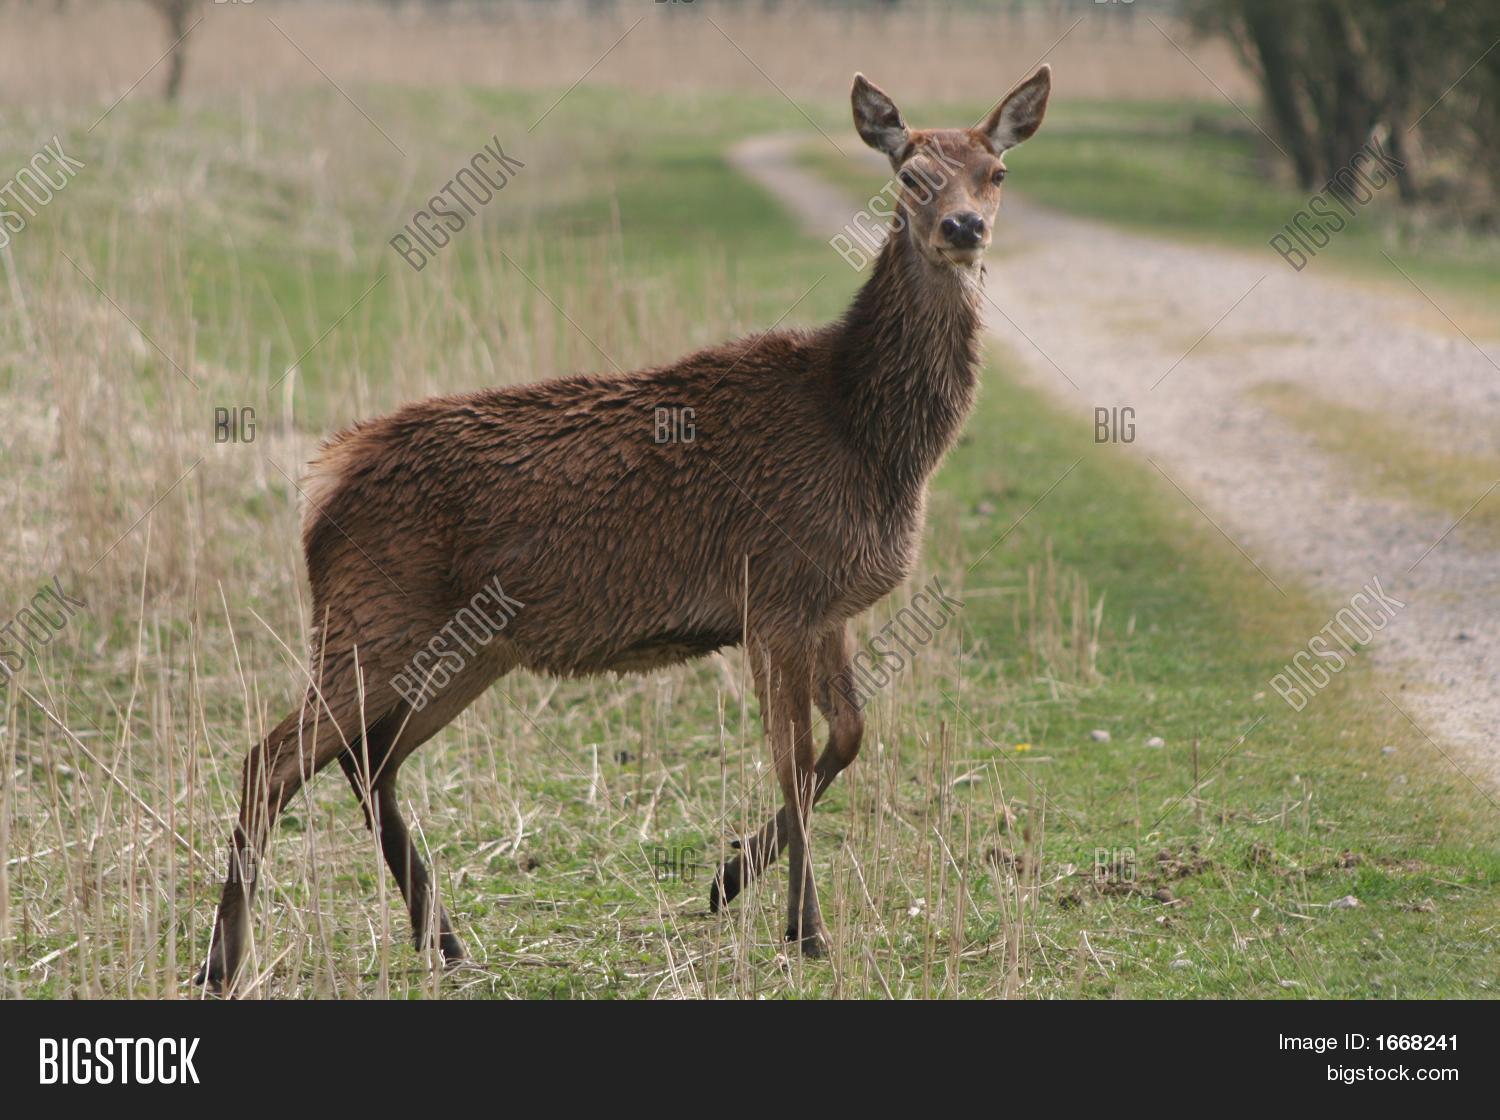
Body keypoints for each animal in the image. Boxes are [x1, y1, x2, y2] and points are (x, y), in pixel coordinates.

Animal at [197, 65, 1051, 994]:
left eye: (996, 173)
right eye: (911, 176)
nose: (964, 228)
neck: (871, 441)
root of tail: (322, 479)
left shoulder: (827, 605)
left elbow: (850, 737)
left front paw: (729, 884)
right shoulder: (774, 594)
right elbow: (792, 762)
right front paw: (806, 928)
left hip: (470, 643)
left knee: (370, 758)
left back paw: (444, 939)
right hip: (369, 617)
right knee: (271, 759)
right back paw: (225, 961)